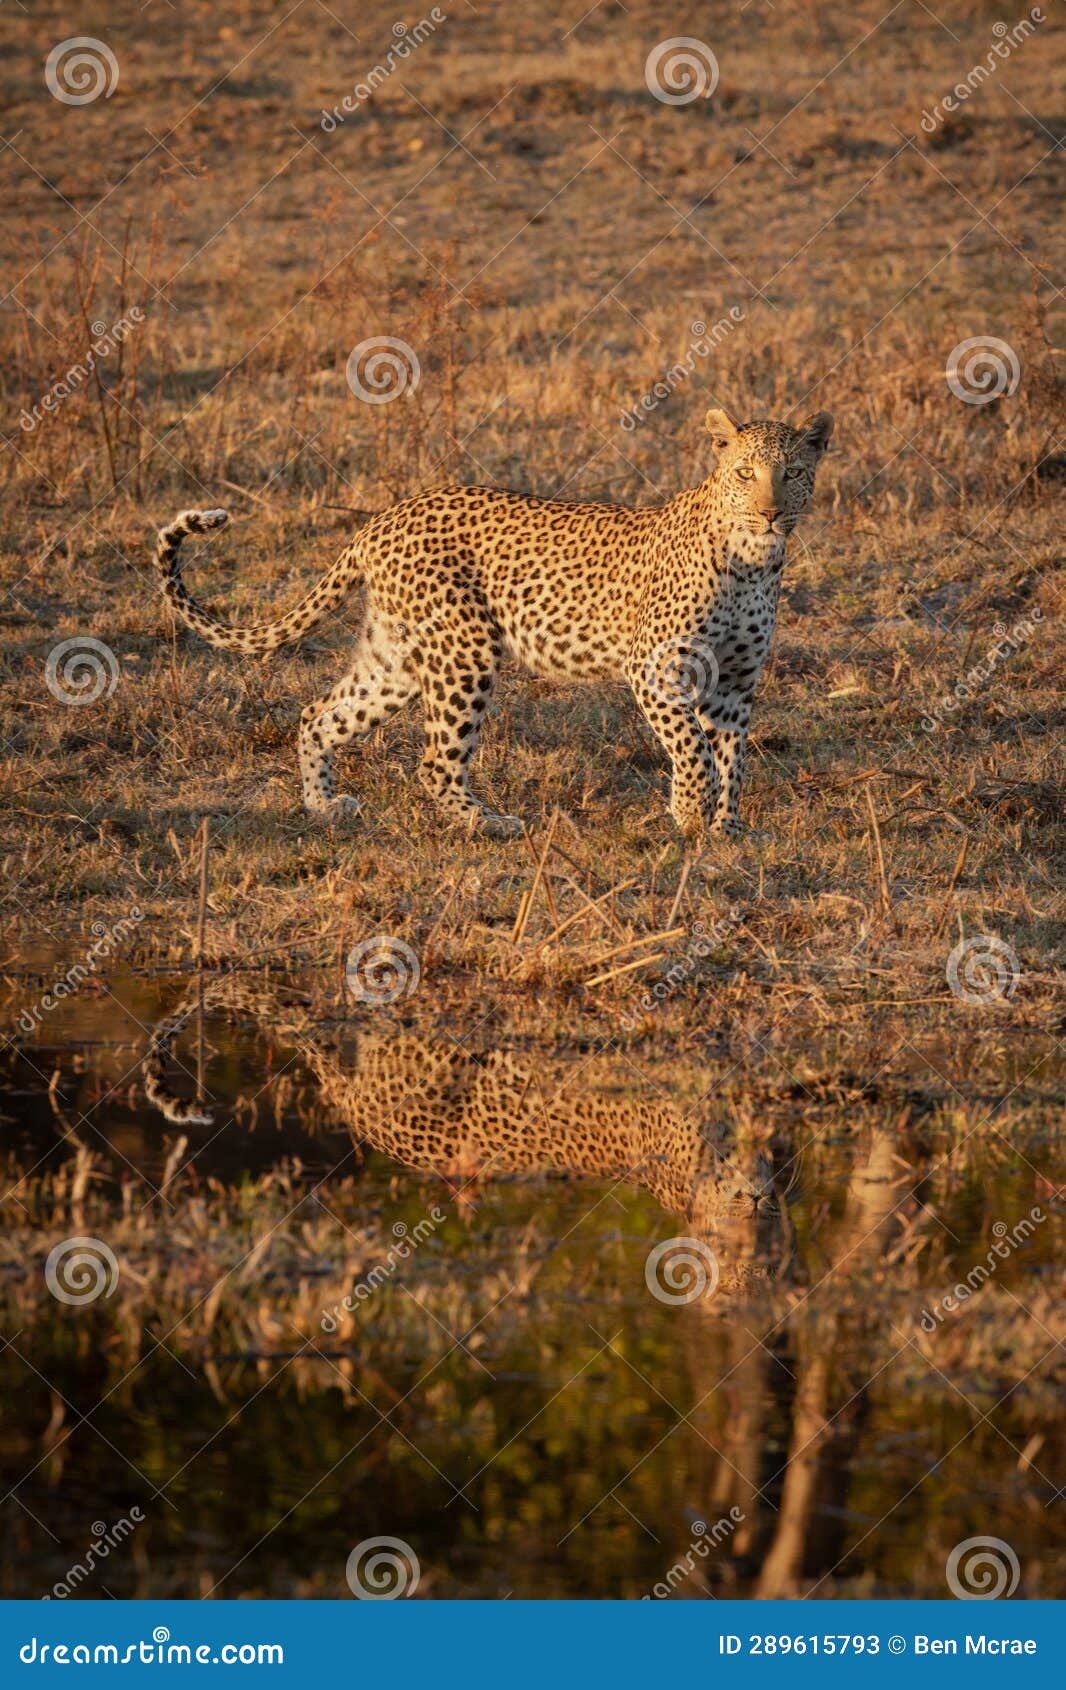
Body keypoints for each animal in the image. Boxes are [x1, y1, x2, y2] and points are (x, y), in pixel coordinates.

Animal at [154, 406, 832, 840]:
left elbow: (732, 756)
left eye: (793, 474)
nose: (770, 513)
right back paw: (491, 824)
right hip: (464, 654)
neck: (754, 560)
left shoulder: (735, 683)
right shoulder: (657, 667)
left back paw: (324, 807)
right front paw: (690, 816)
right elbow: (693, 750)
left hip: (396, 659)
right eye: (745, 474)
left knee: (318, 714)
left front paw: (728, 827)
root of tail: (382, 518)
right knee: (434, 761)